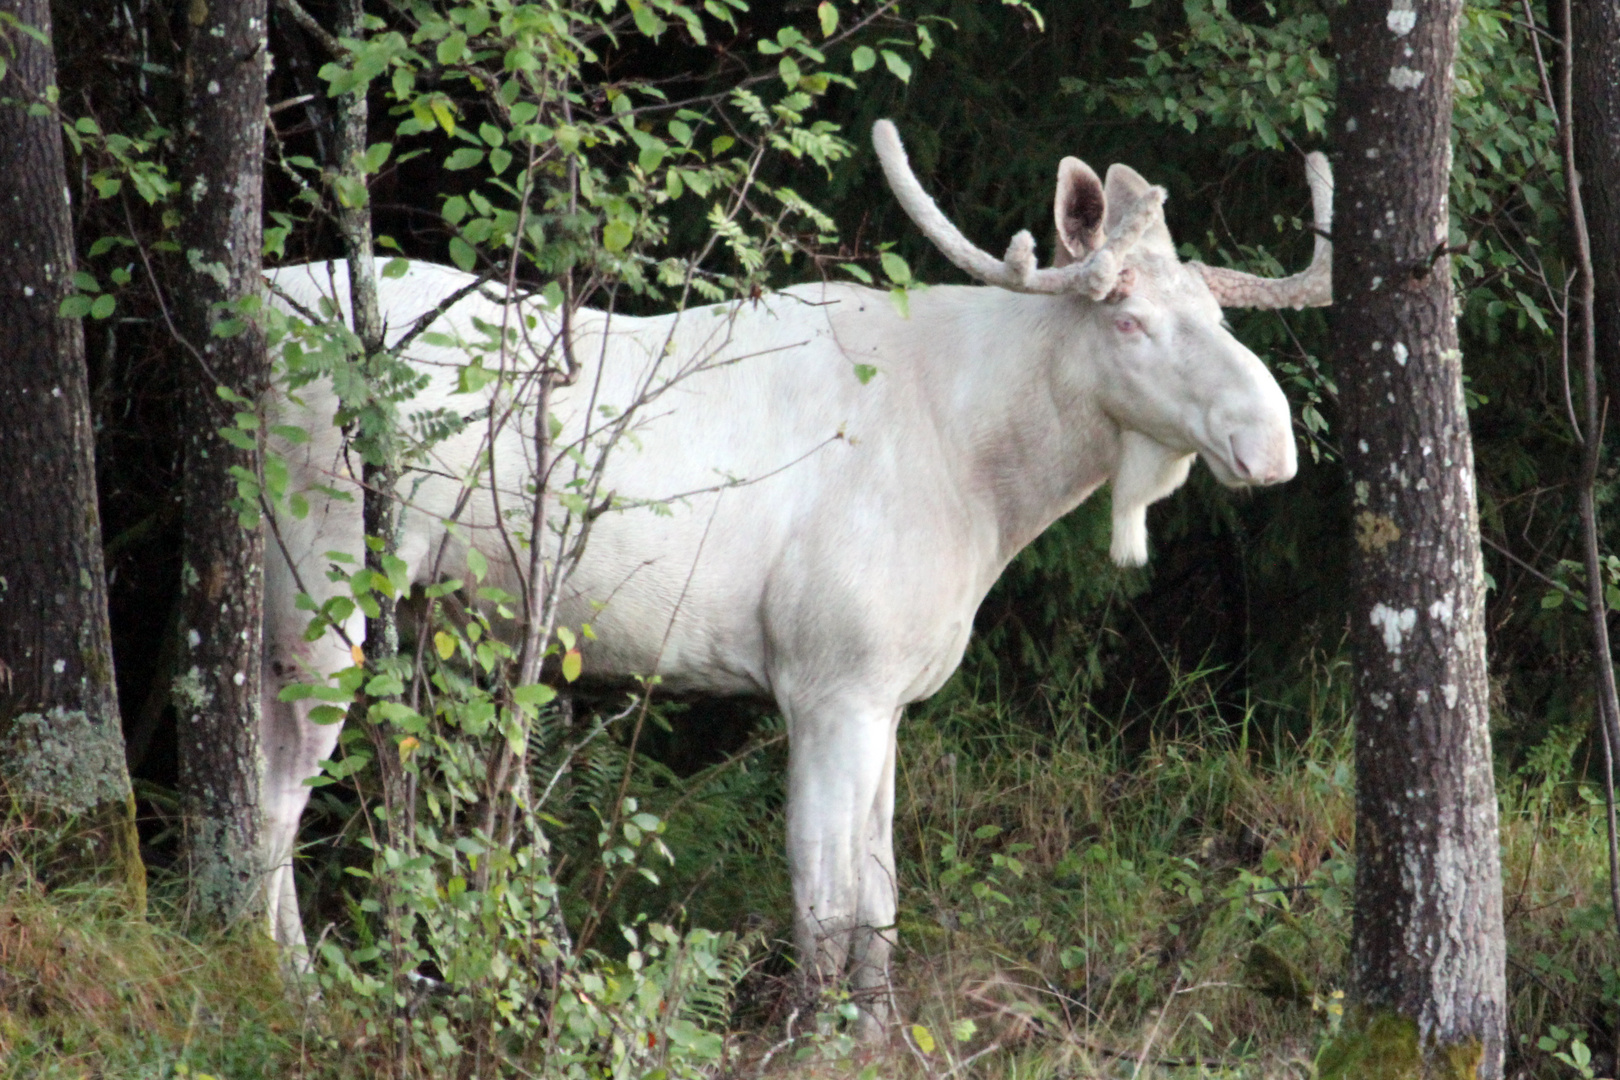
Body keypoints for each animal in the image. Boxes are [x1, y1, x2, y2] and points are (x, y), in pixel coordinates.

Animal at [262, 122, 1328, 1036]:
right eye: (1132, 321)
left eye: (1218, 313)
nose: (1272, 443)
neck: (992, 479)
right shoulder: (827, 685)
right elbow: (825, 908)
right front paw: (817, 1037)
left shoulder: (887, 696)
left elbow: (882, 902)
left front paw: (881, 1033)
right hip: (317, 586)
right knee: (270, 800)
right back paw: (287, 988)